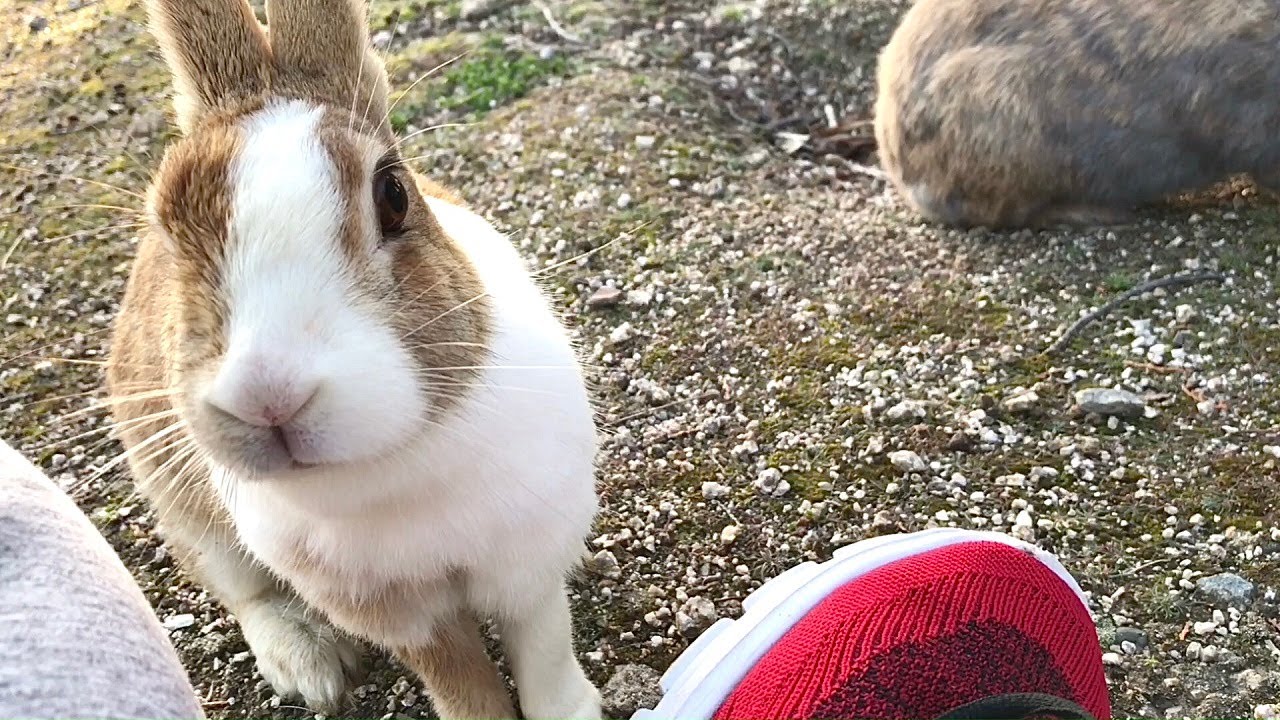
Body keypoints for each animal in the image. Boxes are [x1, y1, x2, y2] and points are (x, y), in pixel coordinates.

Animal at [104, 0, 602, 717]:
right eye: (167, 224)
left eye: (393, 194)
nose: (266, 394)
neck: (393, 464)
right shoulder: (399, 612)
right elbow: (460, 679)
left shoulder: (528, 560)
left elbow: (544, 646)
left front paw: (572, 706)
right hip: (181, 502)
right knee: (244, 592)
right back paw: (308, 666)